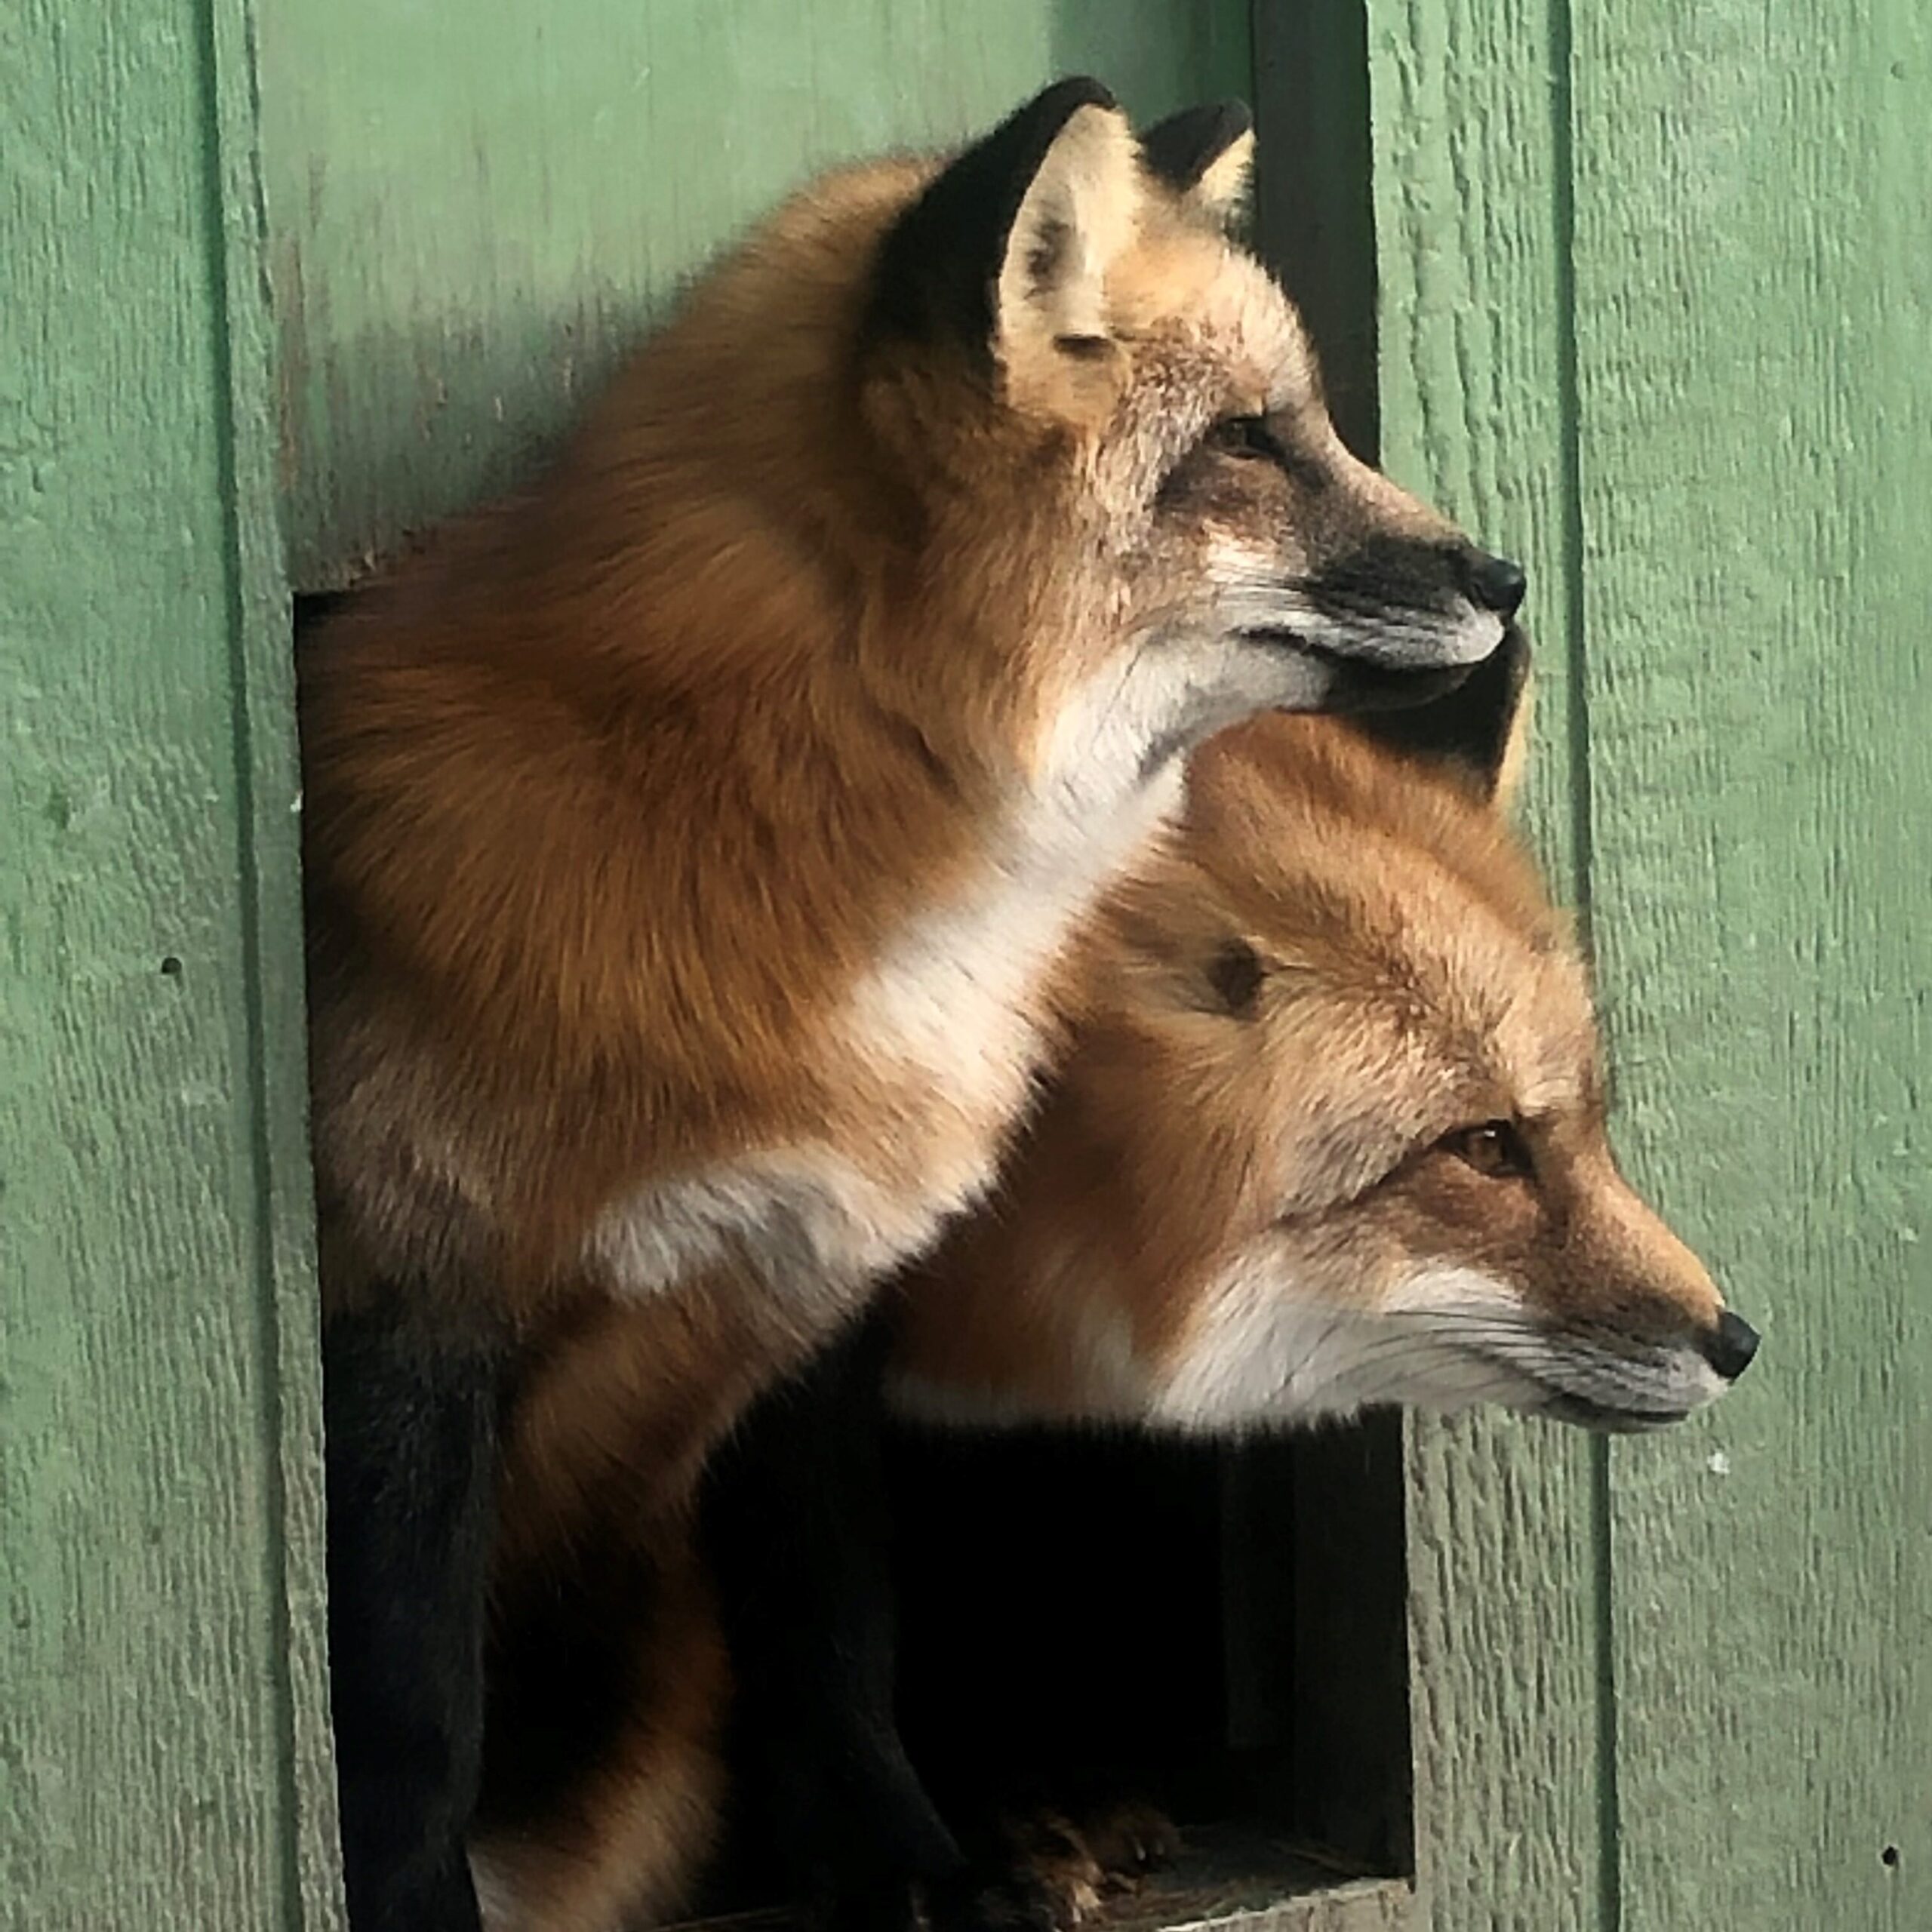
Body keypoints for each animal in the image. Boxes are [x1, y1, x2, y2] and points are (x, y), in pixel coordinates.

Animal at [299, 77, 1526, 1932]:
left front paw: (906, 1864)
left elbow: (836, 1643)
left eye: (1307, 423)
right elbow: (403, 1718)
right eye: (1249, 441)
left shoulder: (804, 1301)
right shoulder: (408, 1302)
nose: (1509, 577)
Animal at [472, 627, 1760, 1932]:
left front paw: (1038, 1797)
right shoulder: (784, 1369)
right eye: (1487, 1146)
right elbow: (829, 1632)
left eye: (1585, 1128)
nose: (1736, 1338)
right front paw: (914, 1859)